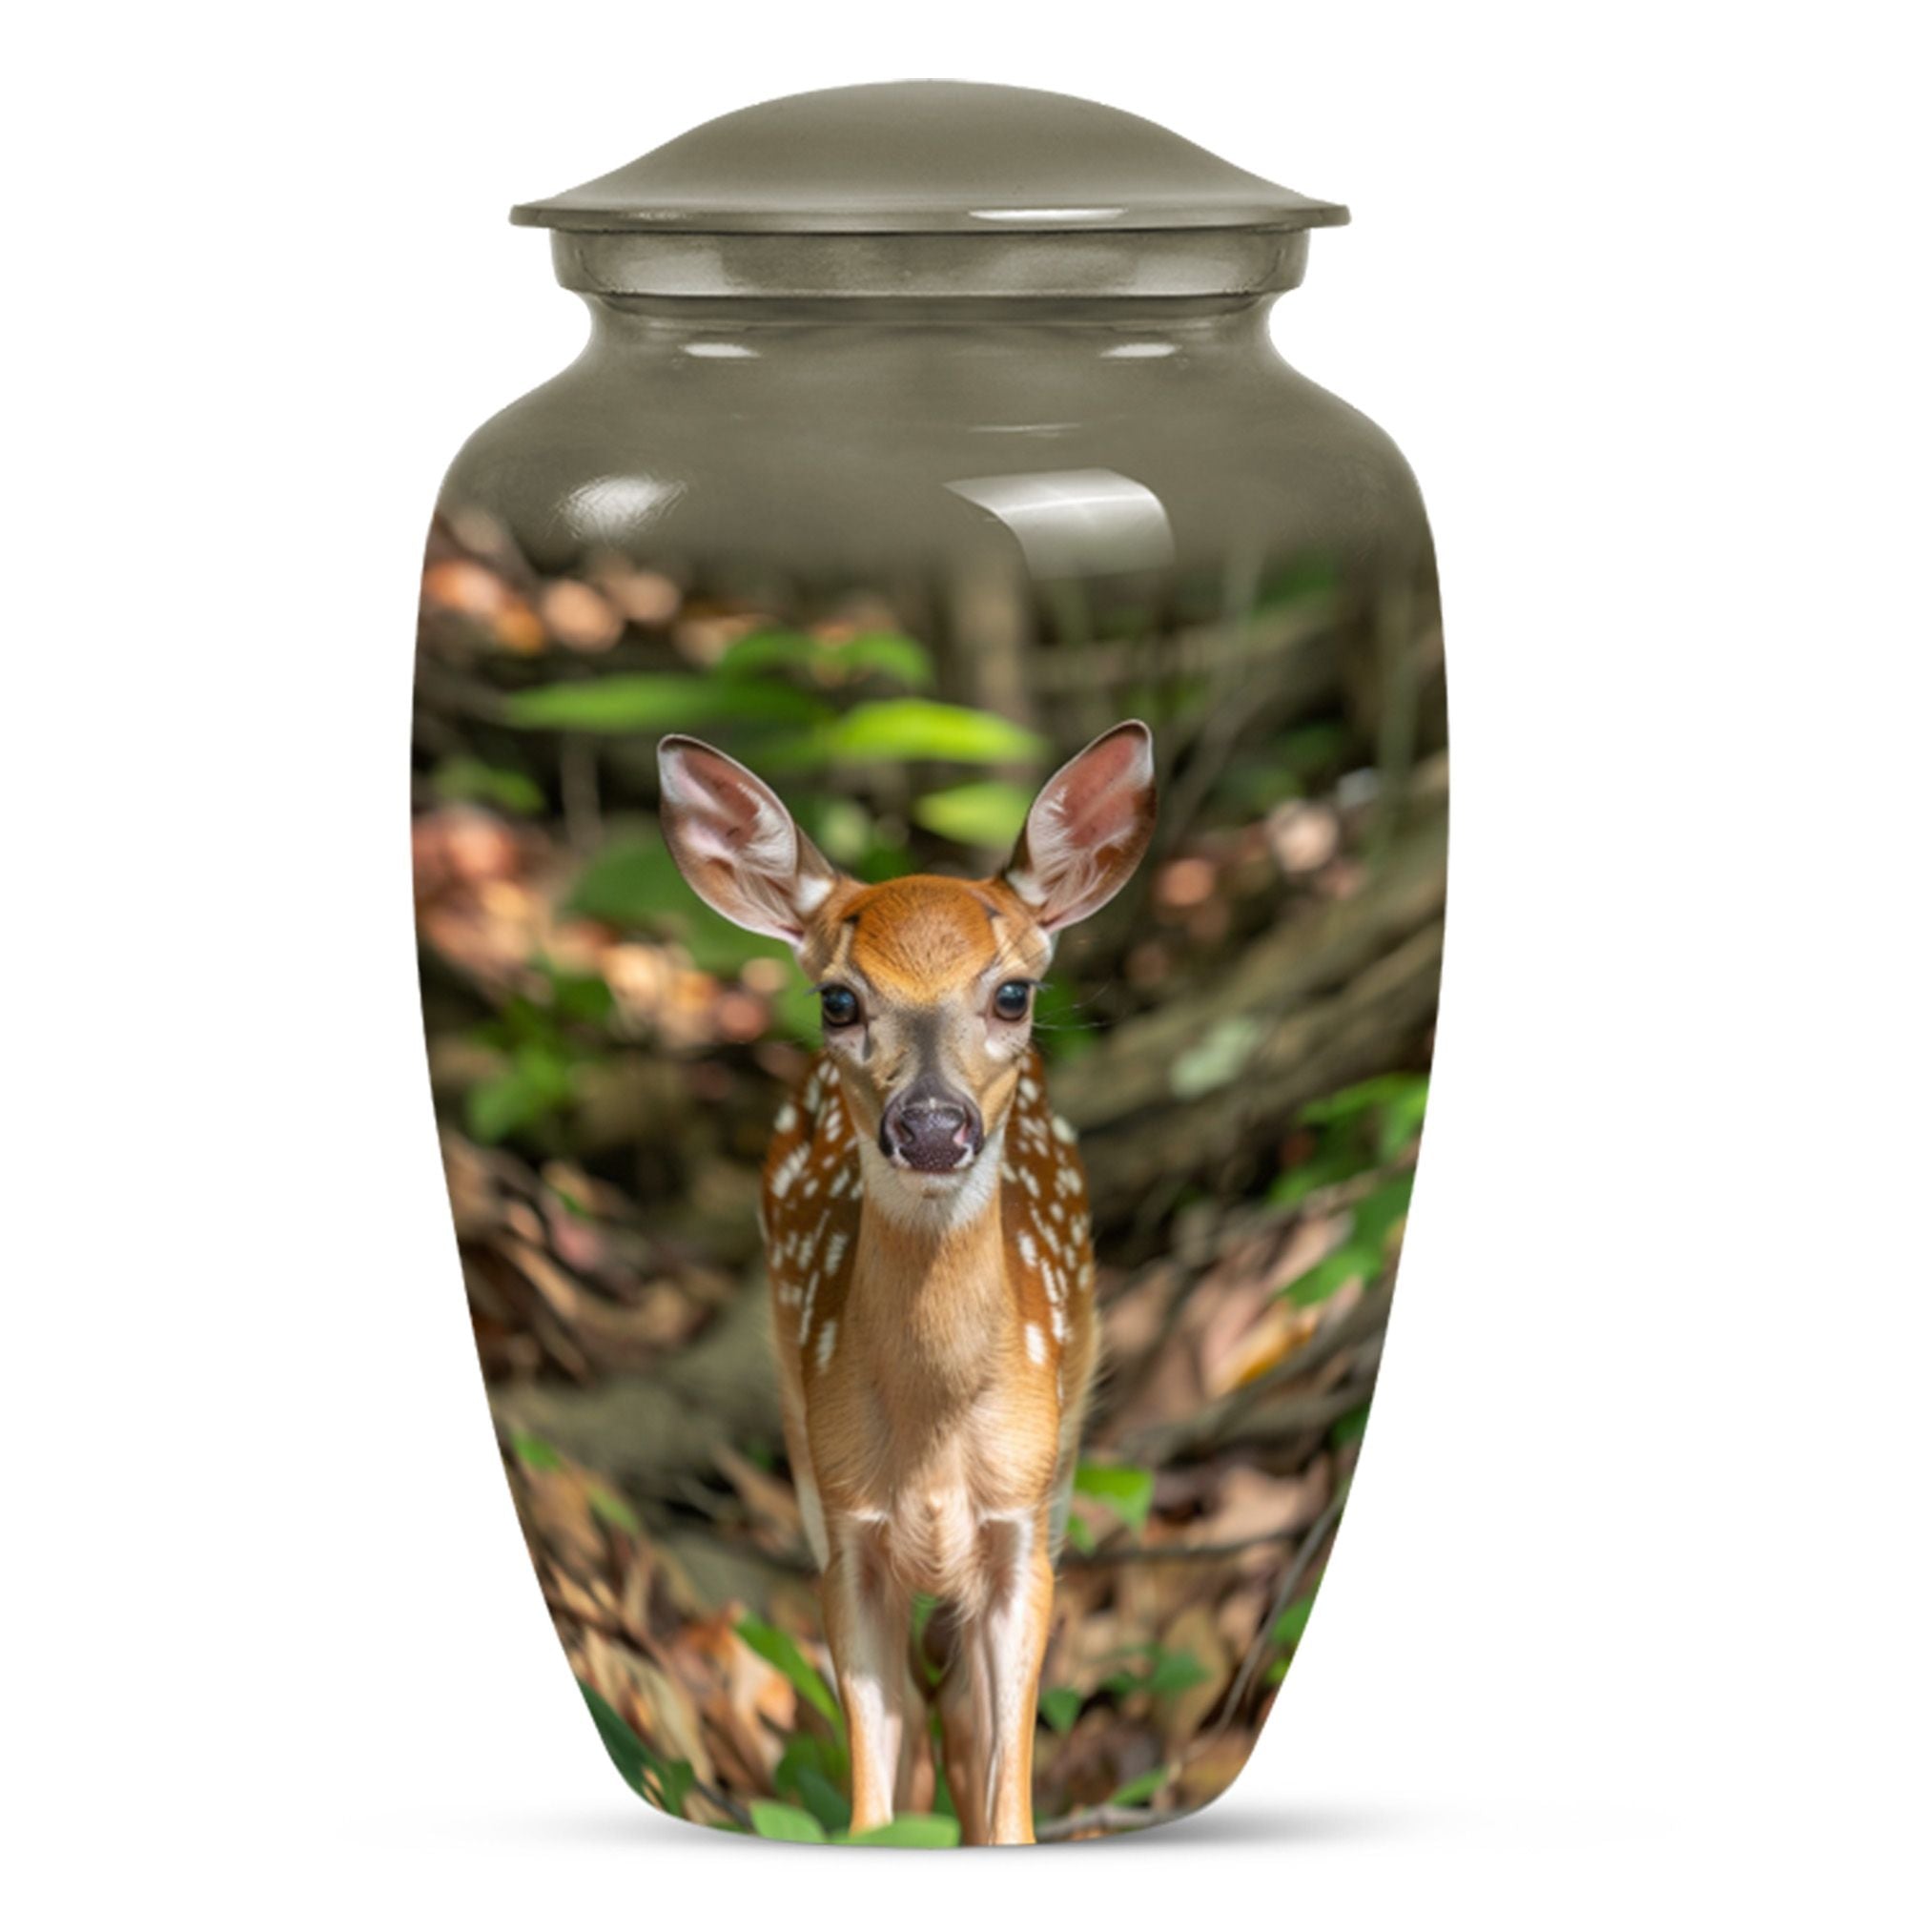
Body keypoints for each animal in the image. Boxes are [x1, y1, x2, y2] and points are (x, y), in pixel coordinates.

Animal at [657, 721, 1156, 1845]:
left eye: (1012, 992)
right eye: (840, 999)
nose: (931, 1126)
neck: (934, 1439)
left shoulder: (1021, 1526)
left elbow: (1007, 1803)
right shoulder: (846, 1531)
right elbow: (870, 1806)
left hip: (1065, 1449)